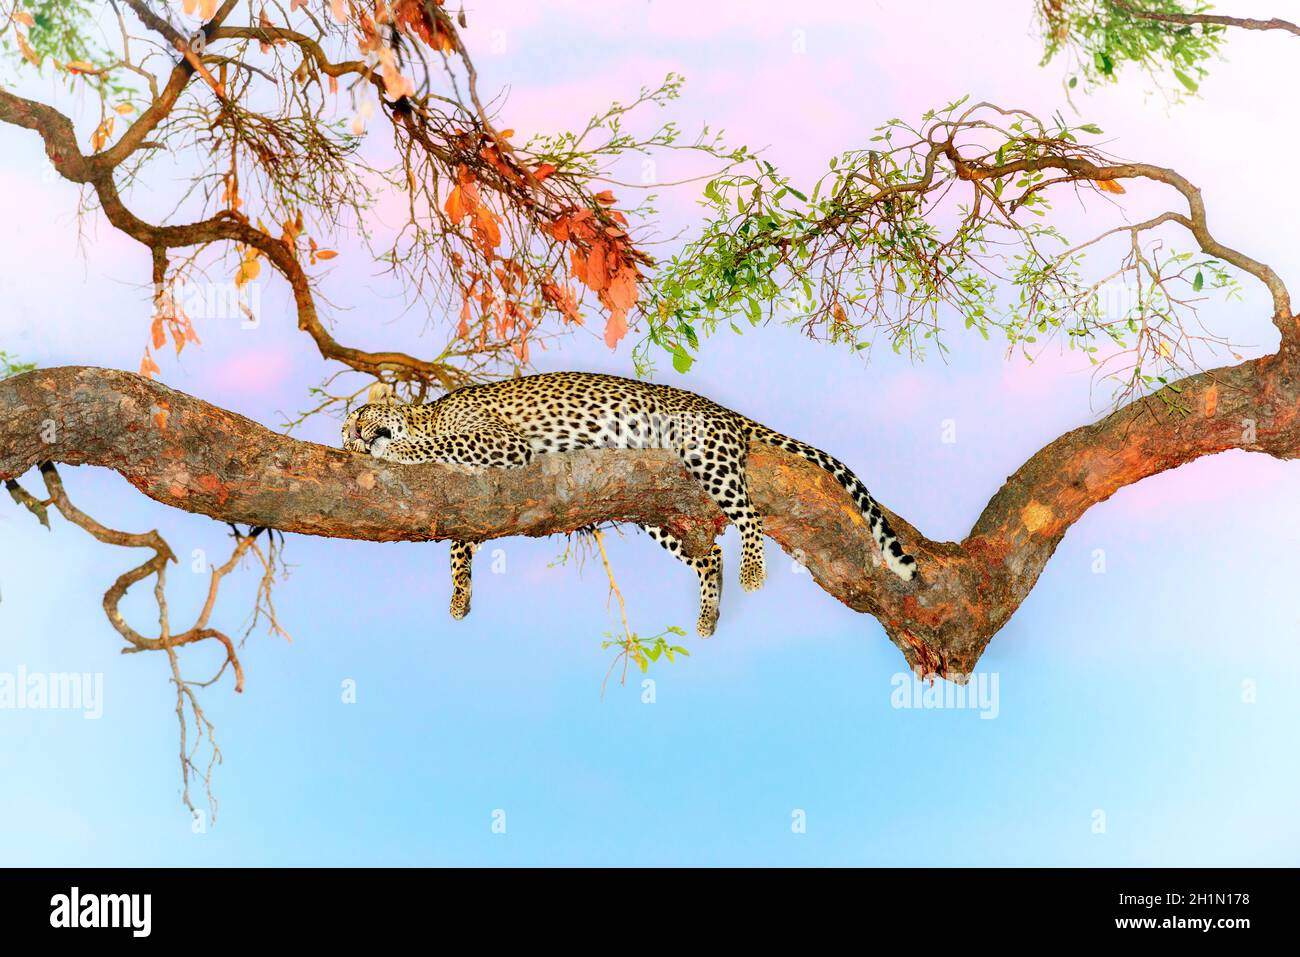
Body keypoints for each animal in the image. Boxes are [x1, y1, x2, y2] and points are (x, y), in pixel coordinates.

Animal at [341, 371, 916, 637]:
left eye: (356, 421)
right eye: (346, 436)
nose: (354, 442)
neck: (427, 413)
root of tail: (722, 409)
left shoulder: (503, 443)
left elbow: (434, 446)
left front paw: (395, 448)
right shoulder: (472, 499)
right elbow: (461, 543)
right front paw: (460, 595)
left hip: (705, 450)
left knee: (747, 514)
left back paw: (753, 570)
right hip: (653, 509)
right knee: (709, 553)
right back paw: (708, 613)